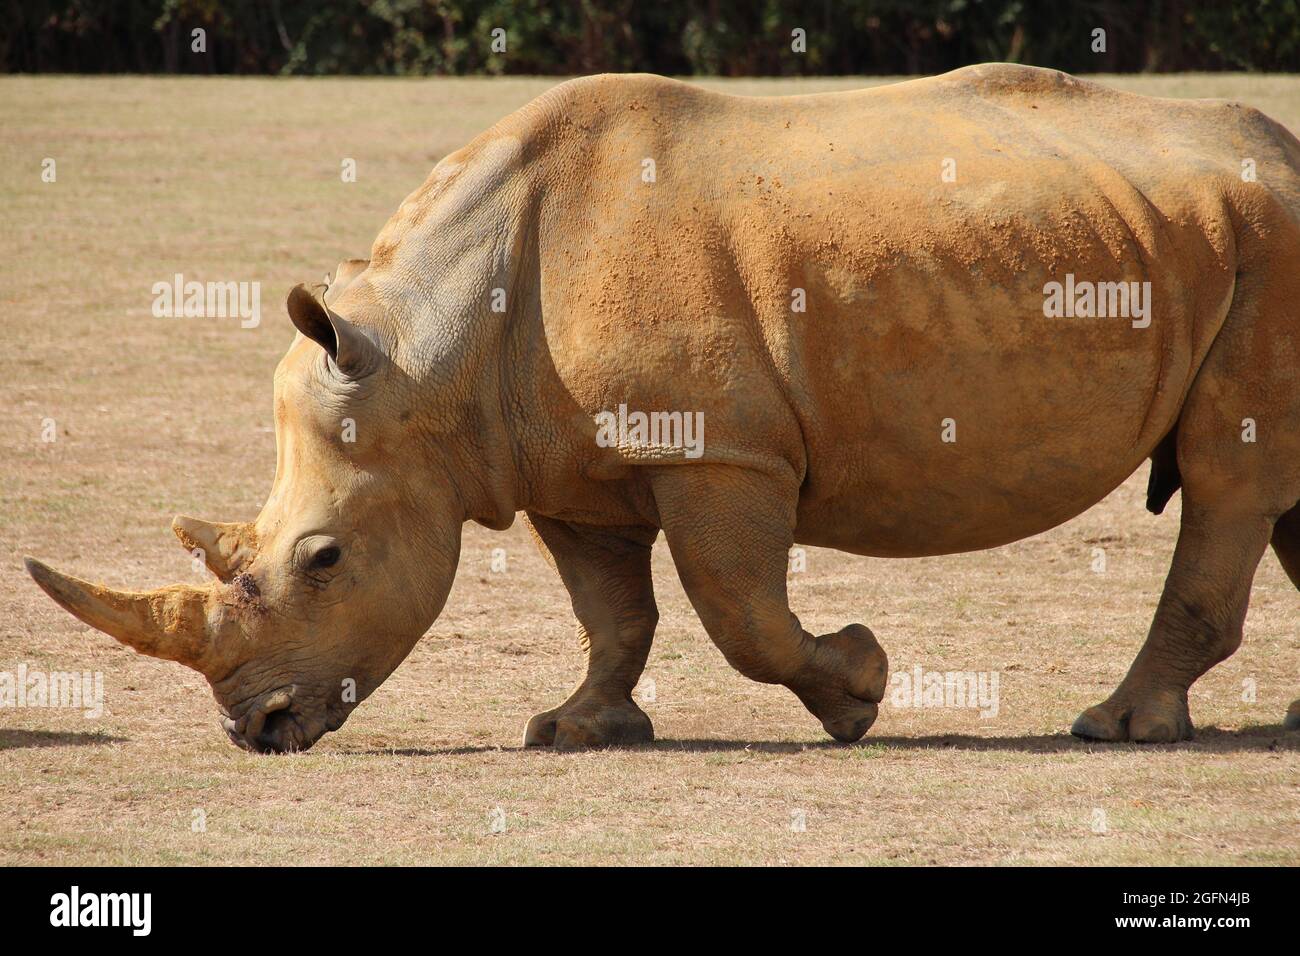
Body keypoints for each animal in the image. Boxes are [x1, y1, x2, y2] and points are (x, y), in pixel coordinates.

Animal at [25, 64, 1300, 752]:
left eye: (324, 559)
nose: (255, 727)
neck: (431, 358)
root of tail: (1285, 157)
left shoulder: (720, 453)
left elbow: (739, 612)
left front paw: (859, 689)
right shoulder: (556, 461)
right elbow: (612, 611)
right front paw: (576, 729)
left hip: (1264, 244)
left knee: (1228, 475)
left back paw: (1115, 725)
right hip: (1219, 237)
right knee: (1281, 498)